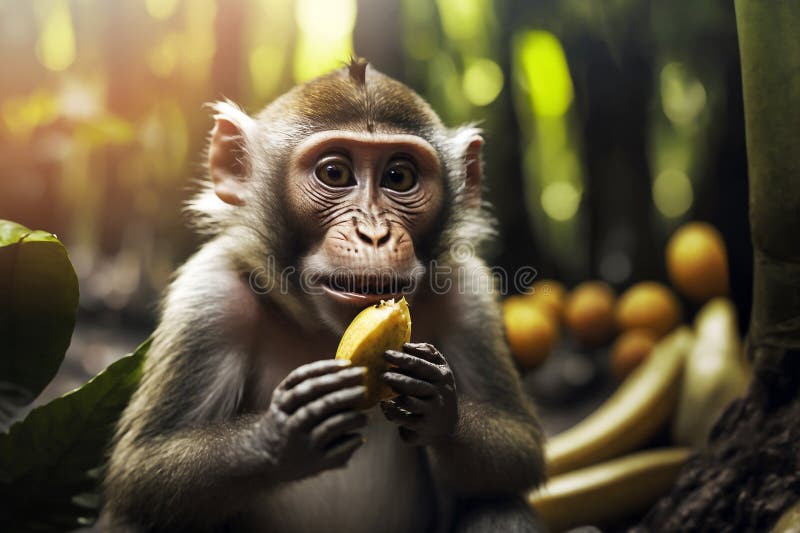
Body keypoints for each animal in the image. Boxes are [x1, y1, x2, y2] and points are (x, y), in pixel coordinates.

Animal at [101, 58, 545, 533]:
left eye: (399, 177)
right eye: (335, 174)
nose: (374, 234)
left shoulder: (469, 296)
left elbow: (518, 450)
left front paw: (438, 403)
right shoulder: (208, 297)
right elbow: (141, 470)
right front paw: (283, 432)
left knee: (499, 505)